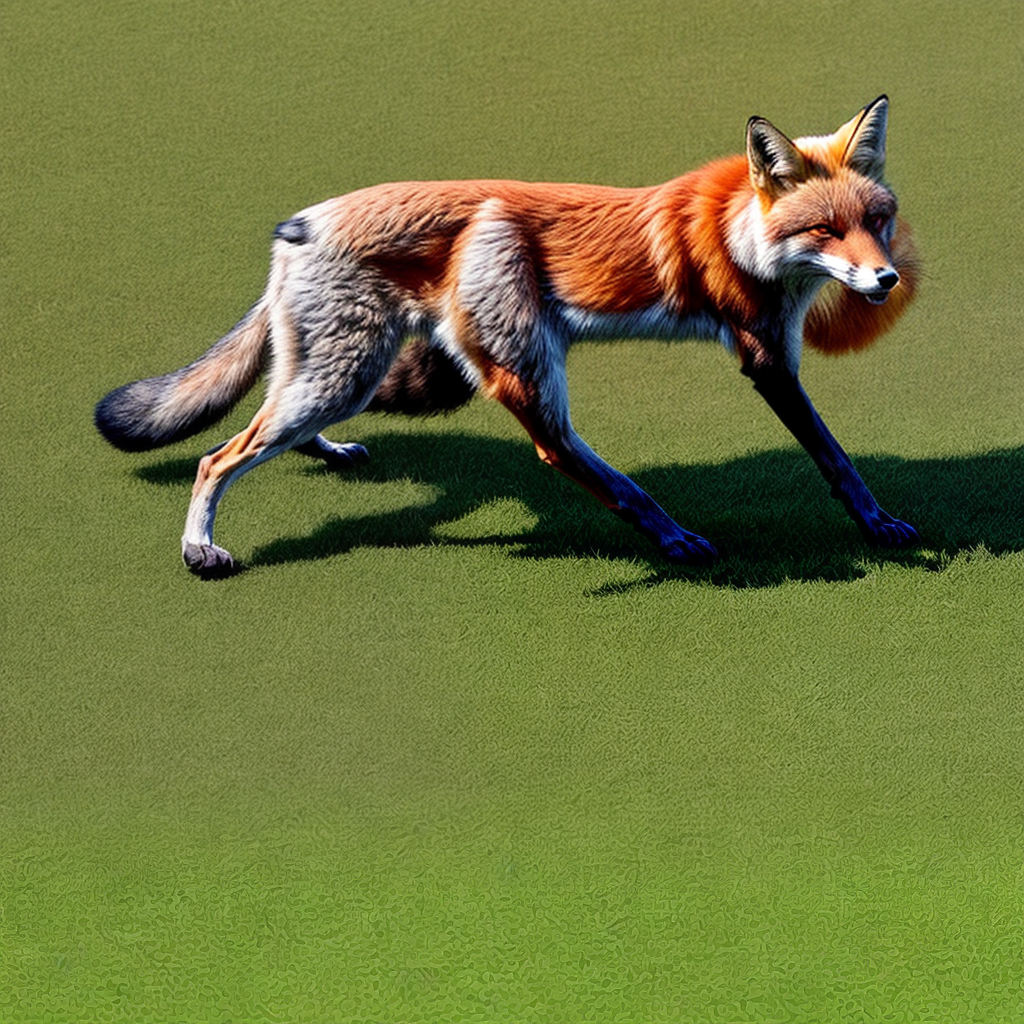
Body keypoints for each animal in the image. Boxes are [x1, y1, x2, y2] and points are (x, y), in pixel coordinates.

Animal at [96, 95, 920, 578]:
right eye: (825, 230)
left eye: (876, 222)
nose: (886, 281)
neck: (736, 228)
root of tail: (301, 221)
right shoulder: (765, 356)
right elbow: (835, 457)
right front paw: (876, 522)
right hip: (441, 360)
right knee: (218, 456)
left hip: (355, 369)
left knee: (271, 415)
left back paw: (323, 452)